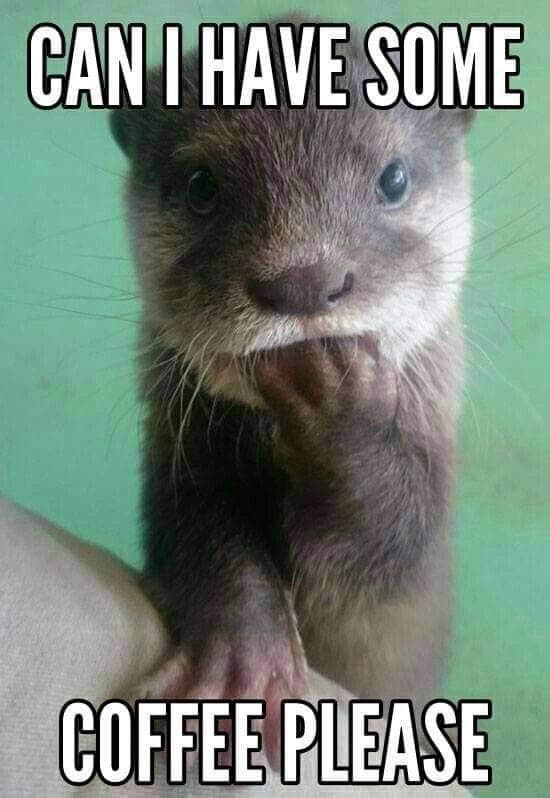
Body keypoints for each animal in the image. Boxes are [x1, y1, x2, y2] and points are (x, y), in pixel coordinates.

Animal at [110, 18, 474, 766]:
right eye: (202, 185)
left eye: (393, 178)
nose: (305, 281)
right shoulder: (182, 450)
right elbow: (202, 536)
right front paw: (241, 661)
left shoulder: (420, 500)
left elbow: (380, 542)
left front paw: (343, 413)